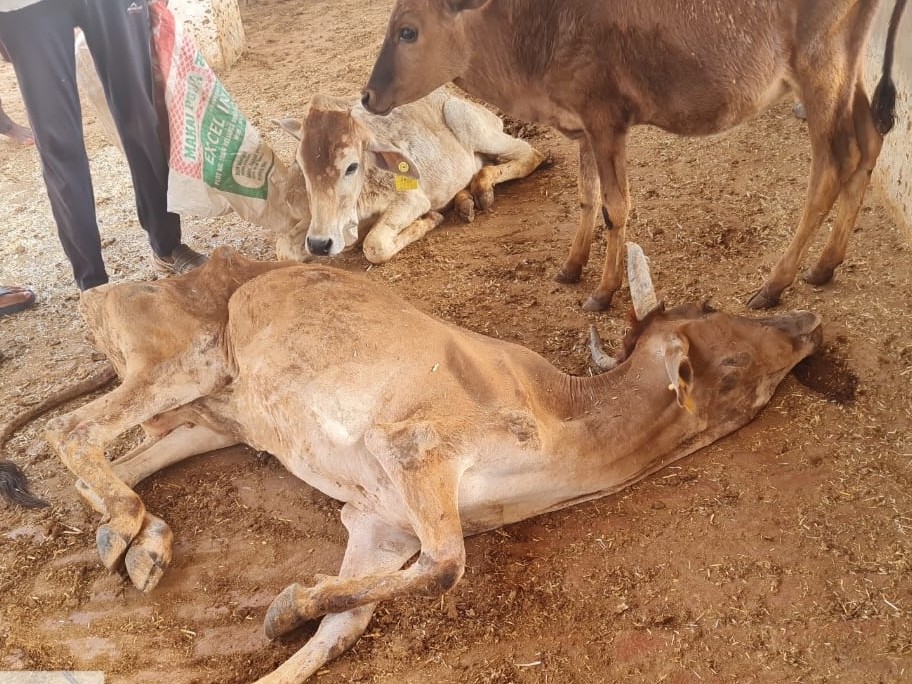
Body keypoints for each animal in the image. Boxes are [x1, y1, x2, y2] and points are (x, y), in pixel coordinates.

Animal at [43, 244, 819, 682]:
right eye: (728, 353)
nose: (808, 324)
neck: (565, 426)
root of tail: (110, 290)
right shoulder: (414, 448)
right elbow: (446, 567)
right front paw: (289, 602)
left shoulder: (380, 521)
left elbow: (347, 623)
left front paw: (291, 613)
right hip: (179, 360)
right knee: (71, 430)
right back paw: (131, 530)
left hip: (227, 415)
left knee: (133, 457)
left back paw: (138, 541)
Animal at [274, 87, 546, 264]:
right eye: (302, 166)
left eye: (351, 167)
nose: (320, 244)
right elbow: (283, 248)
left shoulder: (412, 199)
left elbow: (374, 246)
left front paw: (430, 219)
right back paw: (464, 202)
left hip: (471, 124)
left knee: (530, 154)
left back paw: (482, 188)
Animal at [362, 0, 908, 311]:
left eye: (407, 30)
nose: (367, 96)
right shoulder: (581, 126)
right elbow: (586, 196)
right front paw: (571, 266)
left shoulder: (606, 120)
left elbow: (615, 207)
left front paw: (603, 293)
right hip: (847, 75)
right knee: (869, 143)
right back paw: (825, 265)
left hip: (821, 72)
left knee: (834, 165)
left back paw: (776, 284)